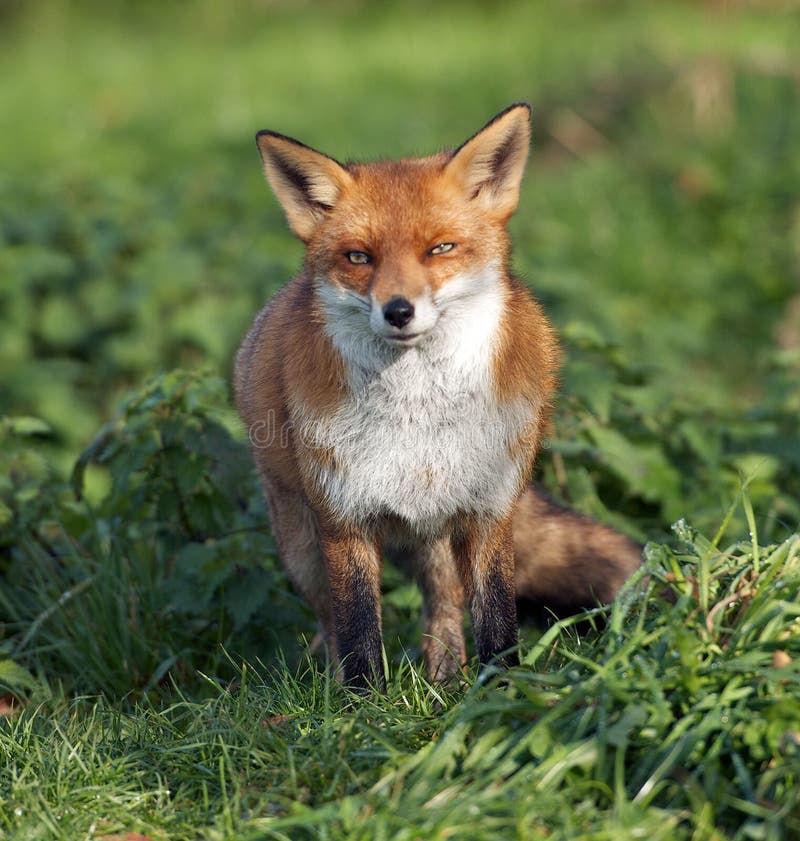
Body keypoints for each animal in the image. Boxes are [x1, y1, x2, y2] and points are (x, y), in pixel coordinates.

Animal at [234, 103, 641, 689]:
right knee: (330, 621)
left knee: (444, 607)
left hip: (441, 531)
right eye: (359, 257)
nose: (398, 311)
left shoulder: (490, 510)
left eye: (440, 248)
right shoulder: (344, 521)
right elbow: (358, 632)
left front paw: (501, 693)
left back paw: (445, 681)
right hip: (301, 544)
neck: (418, 414)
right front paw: (363, 706)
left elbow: (497, 622)